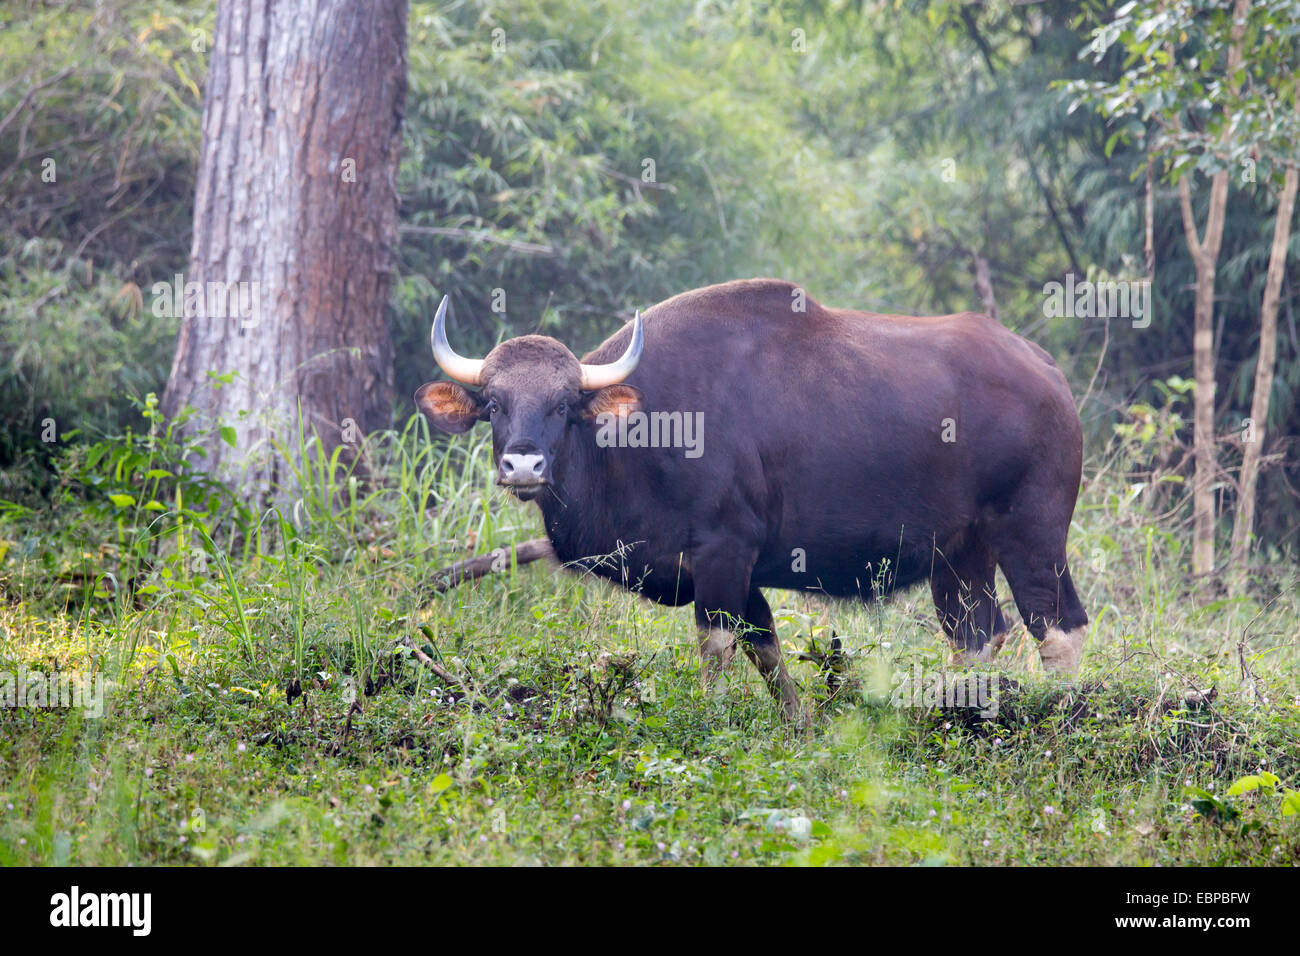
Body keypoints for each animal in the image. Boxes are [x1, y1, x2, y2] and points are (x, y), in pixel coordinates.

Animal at [417, 279, 1088, 720]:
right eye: (495, 404)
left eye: (562, 406)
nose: (523, 465)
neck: (641, 433)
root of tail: (1049, 375)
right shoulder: (740, 573)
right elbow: (764, 646)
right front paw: (801, 725)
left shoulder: (723, 552)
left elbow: (716, 647)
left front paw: (710, 723)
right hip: (959, 553)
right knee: (978, 633)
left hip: (1031, 531)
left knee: (1057, 626)